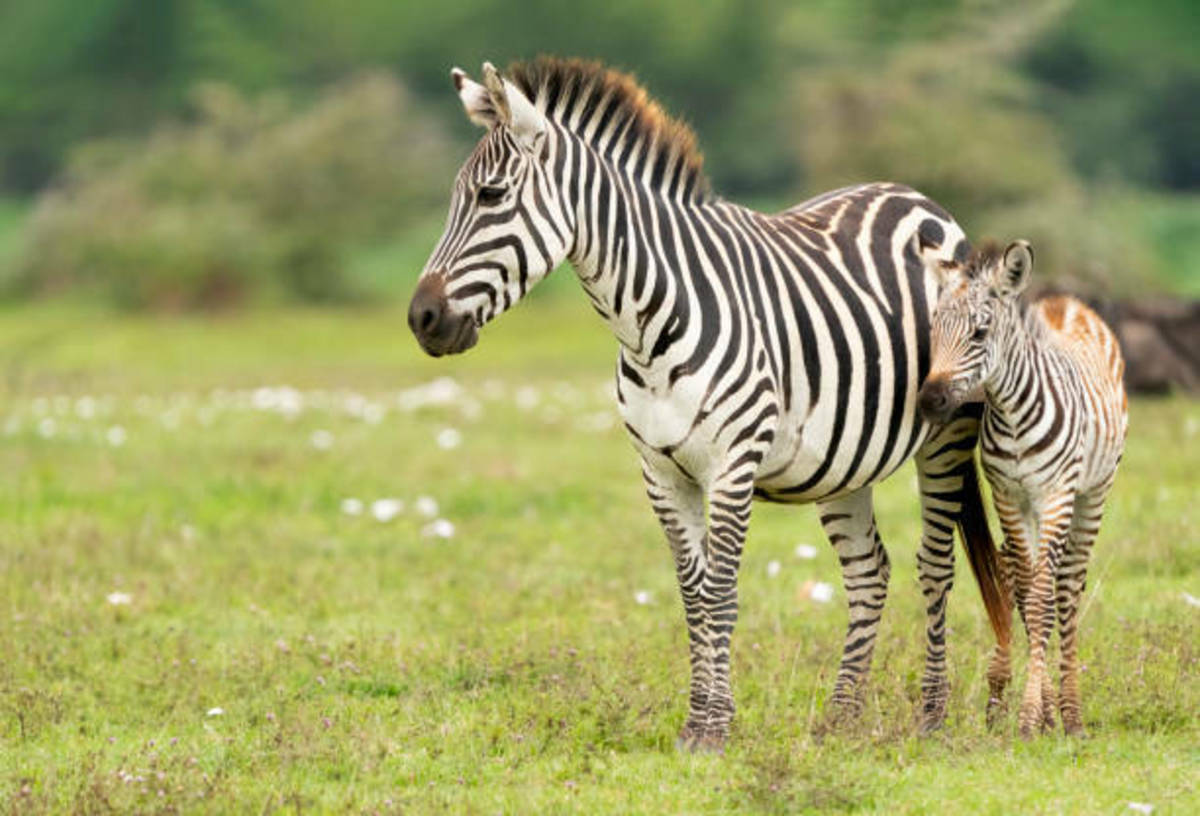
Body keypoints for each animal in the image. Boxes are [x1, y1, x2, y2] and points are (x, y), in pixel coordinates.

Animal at [408, 57, 1009, 751]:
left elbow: (721, 591)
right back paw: (841, 717)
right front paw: (697, 720)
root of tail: (915, 197)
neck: (645, 323)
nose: (421, 319)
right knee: (869, 571)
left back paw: (932, 716)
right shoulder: (661, 472)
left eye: (490, 197)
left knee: (934, 564)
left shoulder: (732, 464)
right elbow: (692, 594)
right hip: (843, 458)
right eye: (458, 197)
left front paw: (716, 726)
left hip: (945, 436)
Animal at [916, 239, 1128, 738]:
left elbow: (1043, 600)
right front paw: (1037, 711)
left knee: (1068, 587)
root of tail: (1065, 301)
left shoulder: (1055, 494)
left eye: (980, 333)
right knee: (1022, 573)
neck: (1012, 415)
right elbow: (1028, 592)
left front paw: (1034, 717)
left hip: (1092, 492)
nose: (930, 402)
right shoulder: (1008, 496)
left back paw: (1074, 714)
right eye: (933, 330)